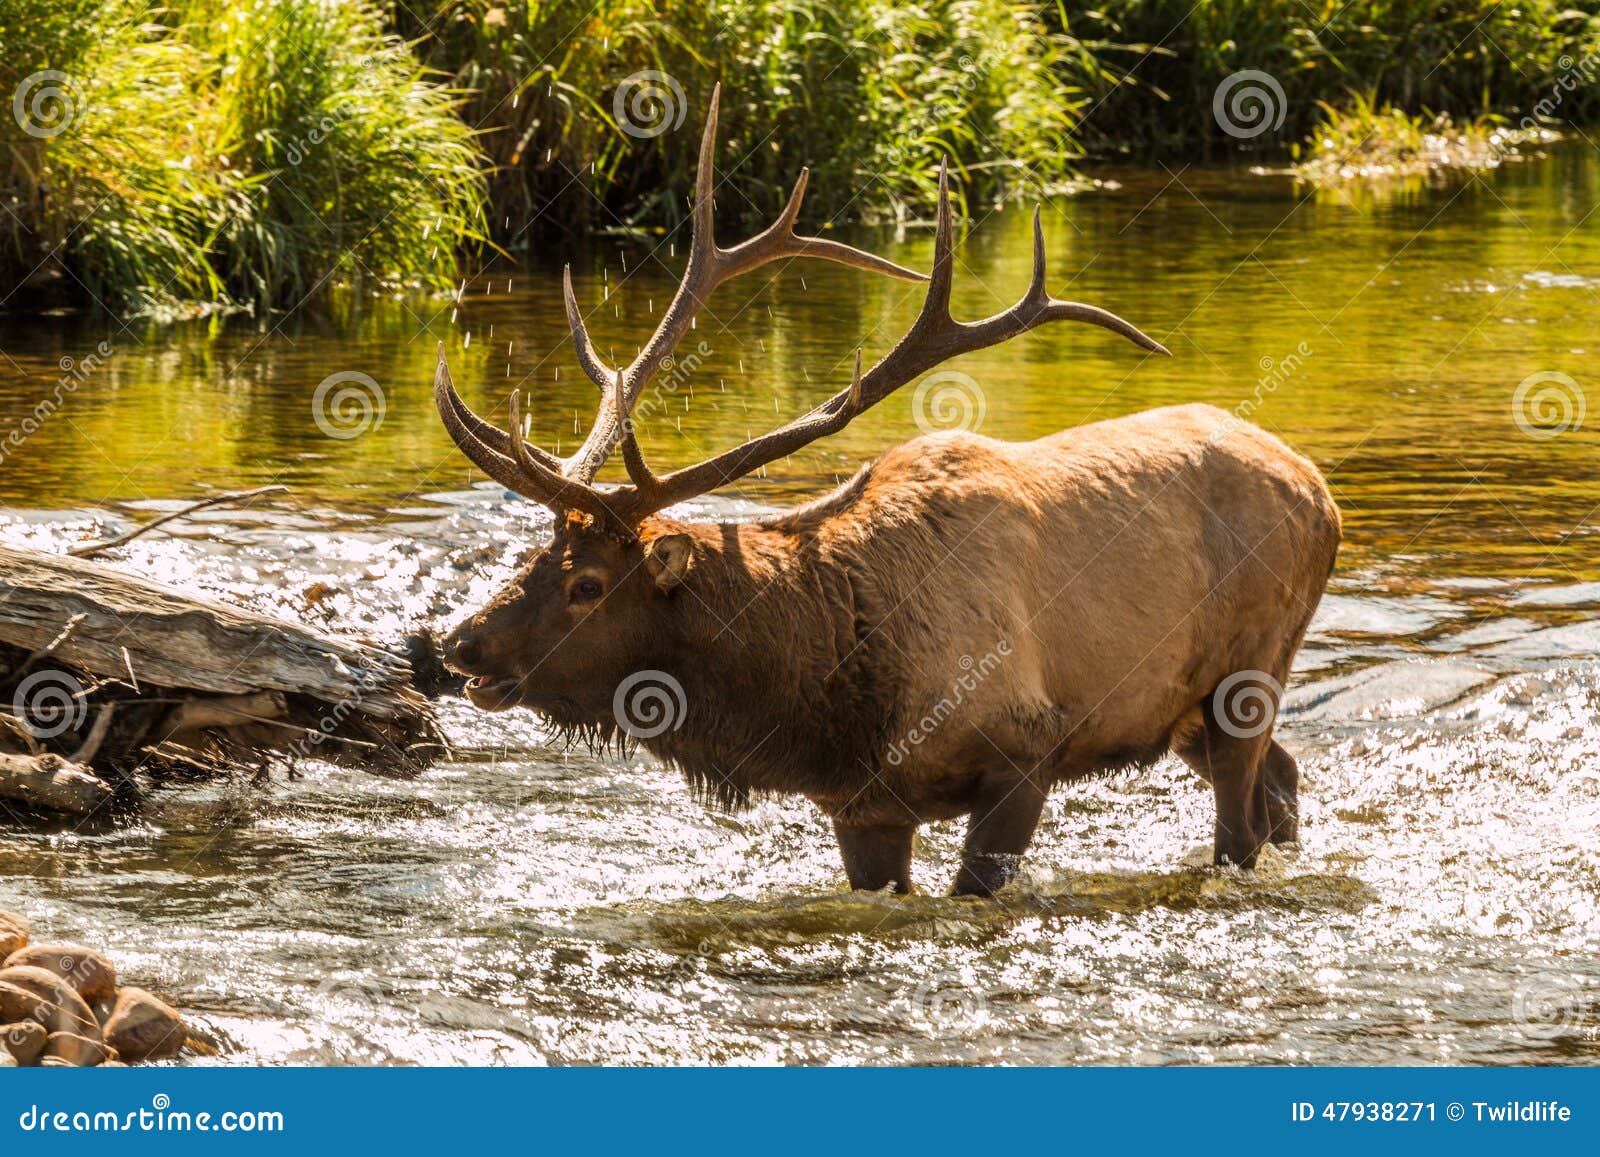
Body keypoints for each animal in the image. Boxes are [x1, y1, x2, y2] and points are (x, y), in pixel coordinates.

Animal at [436, 87, 1341, 896]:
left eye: (588, 583)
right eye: (533, 555)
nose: (459, 644)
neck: (834, 699)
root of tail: (1320, 491)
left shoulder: (1025, 750)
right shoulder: (863, 808)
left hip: (1251, 668)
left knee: (1242, 826)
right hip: (1176, 707)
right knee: (1285, 779)